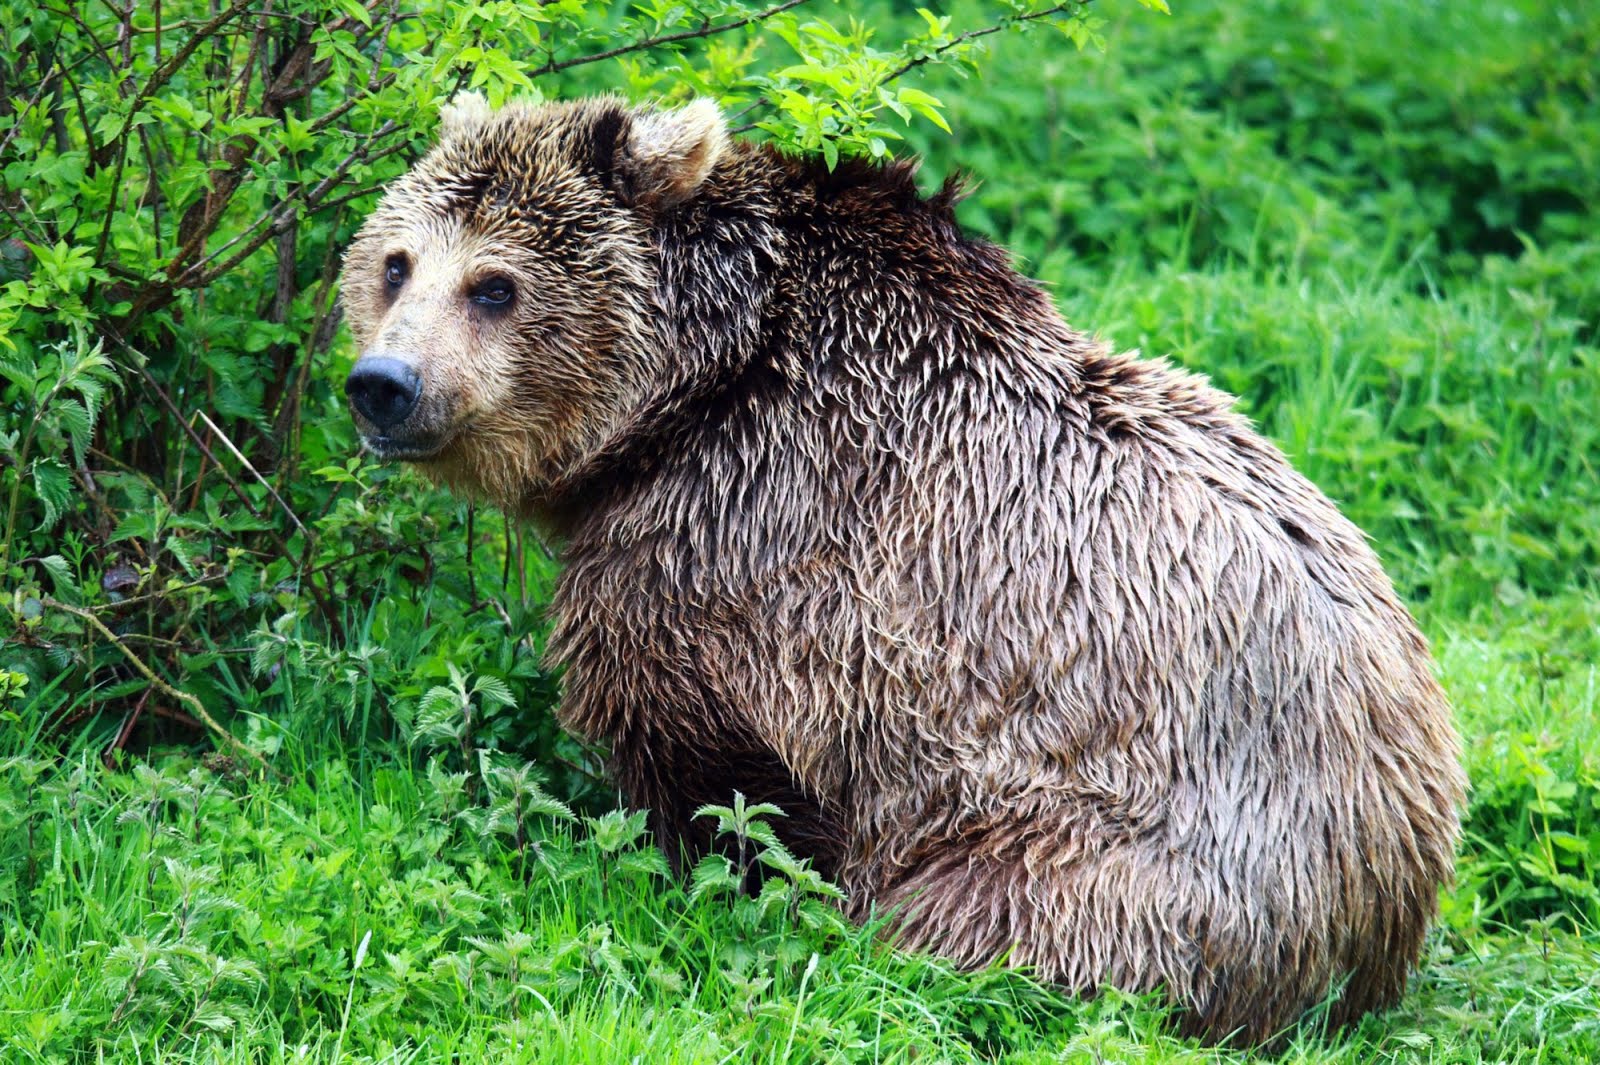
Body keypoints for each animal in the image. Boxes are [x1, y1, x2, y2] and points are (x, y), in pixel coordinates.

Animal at [340, 95, 1466, 1044]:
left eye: (494, 285)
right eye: (396, 263)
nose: (383, 383)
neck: (693, 389)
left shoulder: (744, 544)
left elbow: (717, 773)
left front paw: (705, 884)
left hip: (1114, 852)